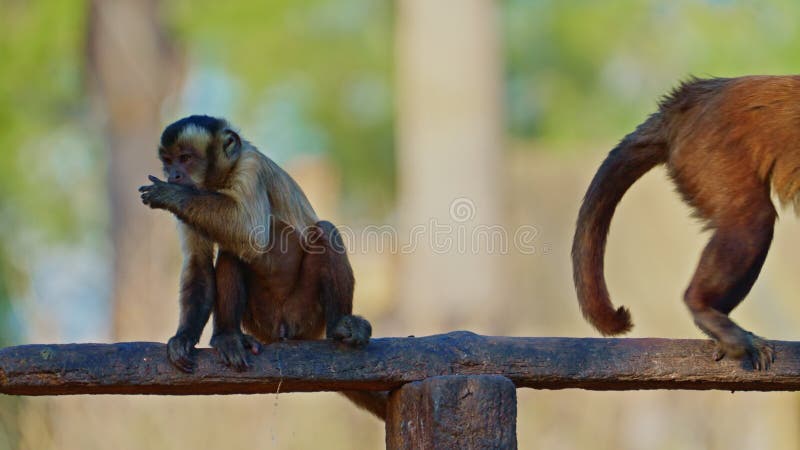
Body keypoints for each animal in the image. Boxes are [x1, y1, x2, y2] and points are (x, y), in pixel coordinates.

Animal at [139, 115, 387, 418]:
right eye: (169, 161)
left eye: (185, 159)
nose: (173, 175)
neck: (220, 181)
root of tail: (282, 330)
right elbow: (199, 262)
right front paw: (184, 337)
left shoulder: (249, 165)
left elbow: (251, 233)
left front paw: (171, 194)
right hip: (262, 319)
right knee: (231, 253)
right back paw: (228, 337)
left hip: (305, 315)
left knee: (323, 232)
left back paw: (340, 324)